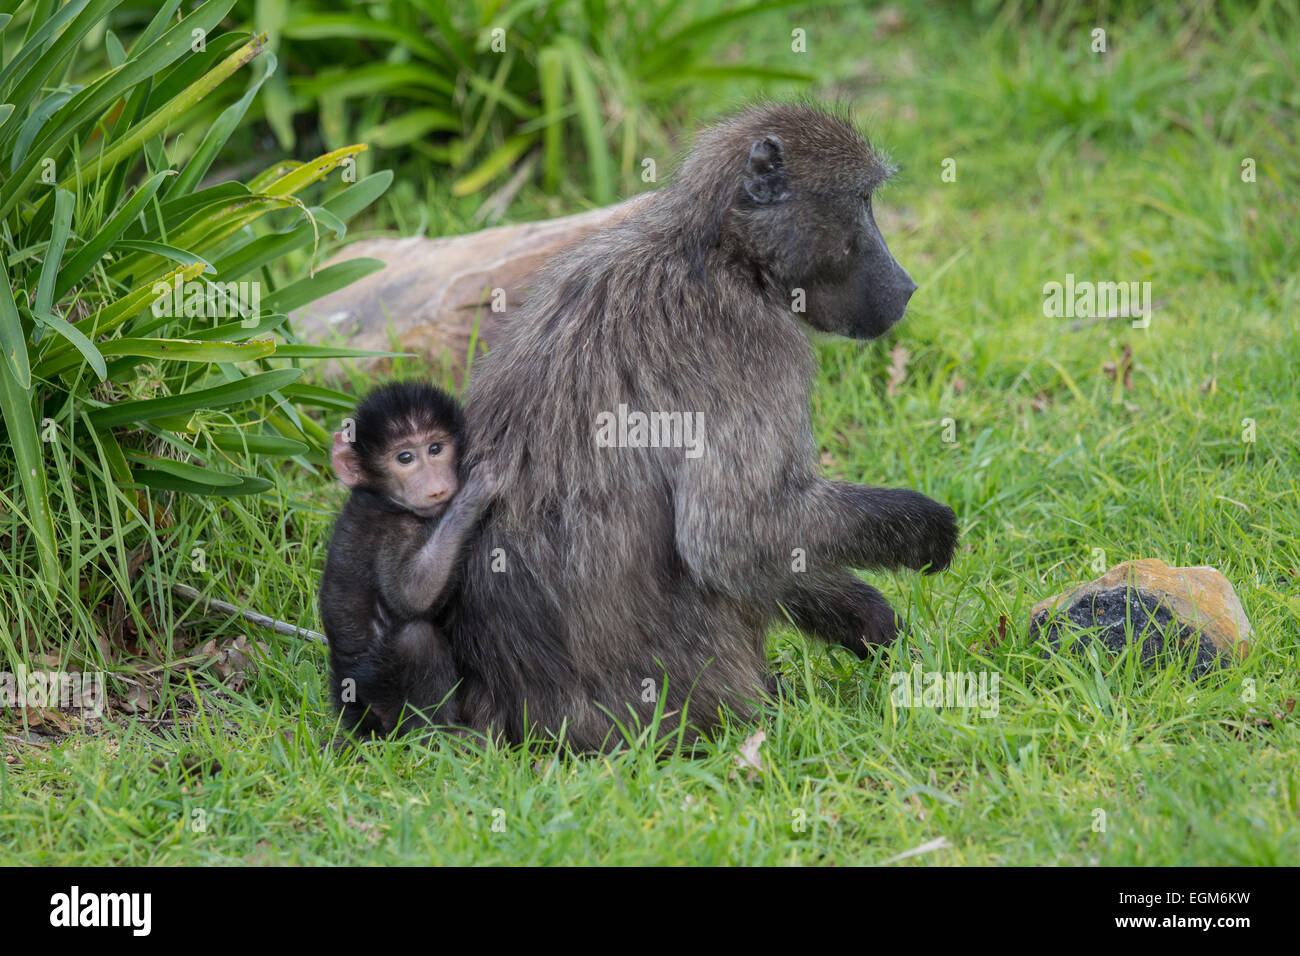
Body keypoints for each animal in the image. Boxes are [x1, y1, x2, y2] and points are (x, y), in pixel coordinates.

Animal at [319, 381, 497, 738]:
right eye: (405, 458)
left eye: (435, 449)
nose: (436, 488)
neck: (382, 498)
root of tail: (357, 710)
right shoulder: (394, 529)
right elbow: (410, 596)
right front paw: (471, 497)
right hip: (384, 691)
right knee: (415, 639)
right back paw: (439, 733)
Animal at [430, 103, 958, 752]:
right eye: (862, 201)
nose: (906, 287)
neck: (724, 252)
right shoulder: (760, 348)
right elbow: (730, 536)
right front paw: (925, 531)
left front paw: (868, 620)